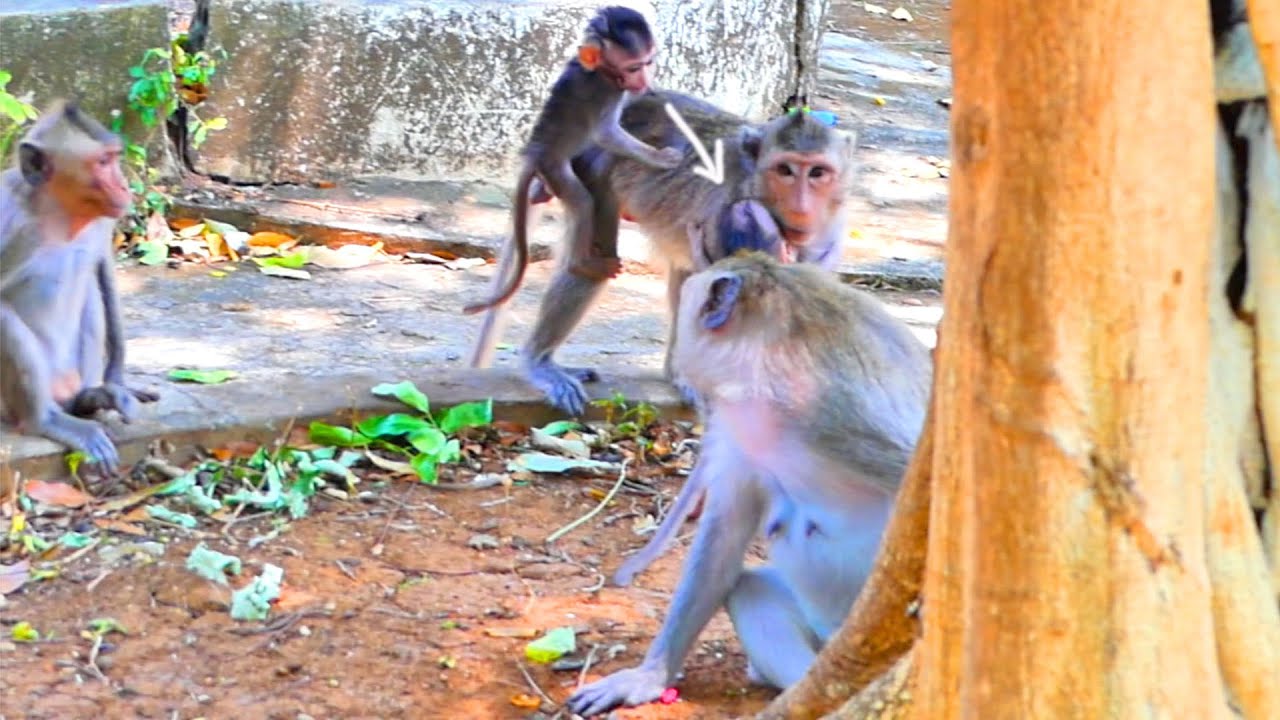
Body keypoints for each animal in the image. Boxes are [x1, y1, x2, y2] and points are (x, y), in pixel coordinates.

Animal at [0, 100, 158, 472]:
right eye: (102, 163)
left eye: (113, 157)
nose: (124, 186)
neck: (59, 214)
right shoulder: (12, 225)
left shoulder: (101, 222)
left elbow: (102, 271)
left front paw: (118, 381)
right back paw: (45, 419)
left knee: (89, 294)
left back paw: (91, 397)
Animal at [461, 6, 683, 318]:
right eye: (633, 68)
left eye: (647, 63)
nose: (642, 82)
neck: (598, 71)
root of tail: (534, 152)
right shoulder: (606, 92)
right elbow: (606, 134)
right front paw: (660, 158)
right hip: (554, 167)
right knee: (582, 202)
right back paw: (582, 264)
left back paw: (541, 194)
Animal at [469, 92, 859, 415]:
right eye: (785, 170)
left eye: (818, 172)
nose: (802, 207)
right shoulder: (728, 209)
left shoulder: (830, 228)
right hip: (591, 171)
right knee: (594, 264)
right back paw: (540, 362)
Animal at [565, 252, 931, 716]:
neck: (765, 362)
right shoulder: (736, 429)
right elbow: (724, 538)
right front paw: (650, 675)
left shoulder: (835, 413)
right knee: (750, 591)